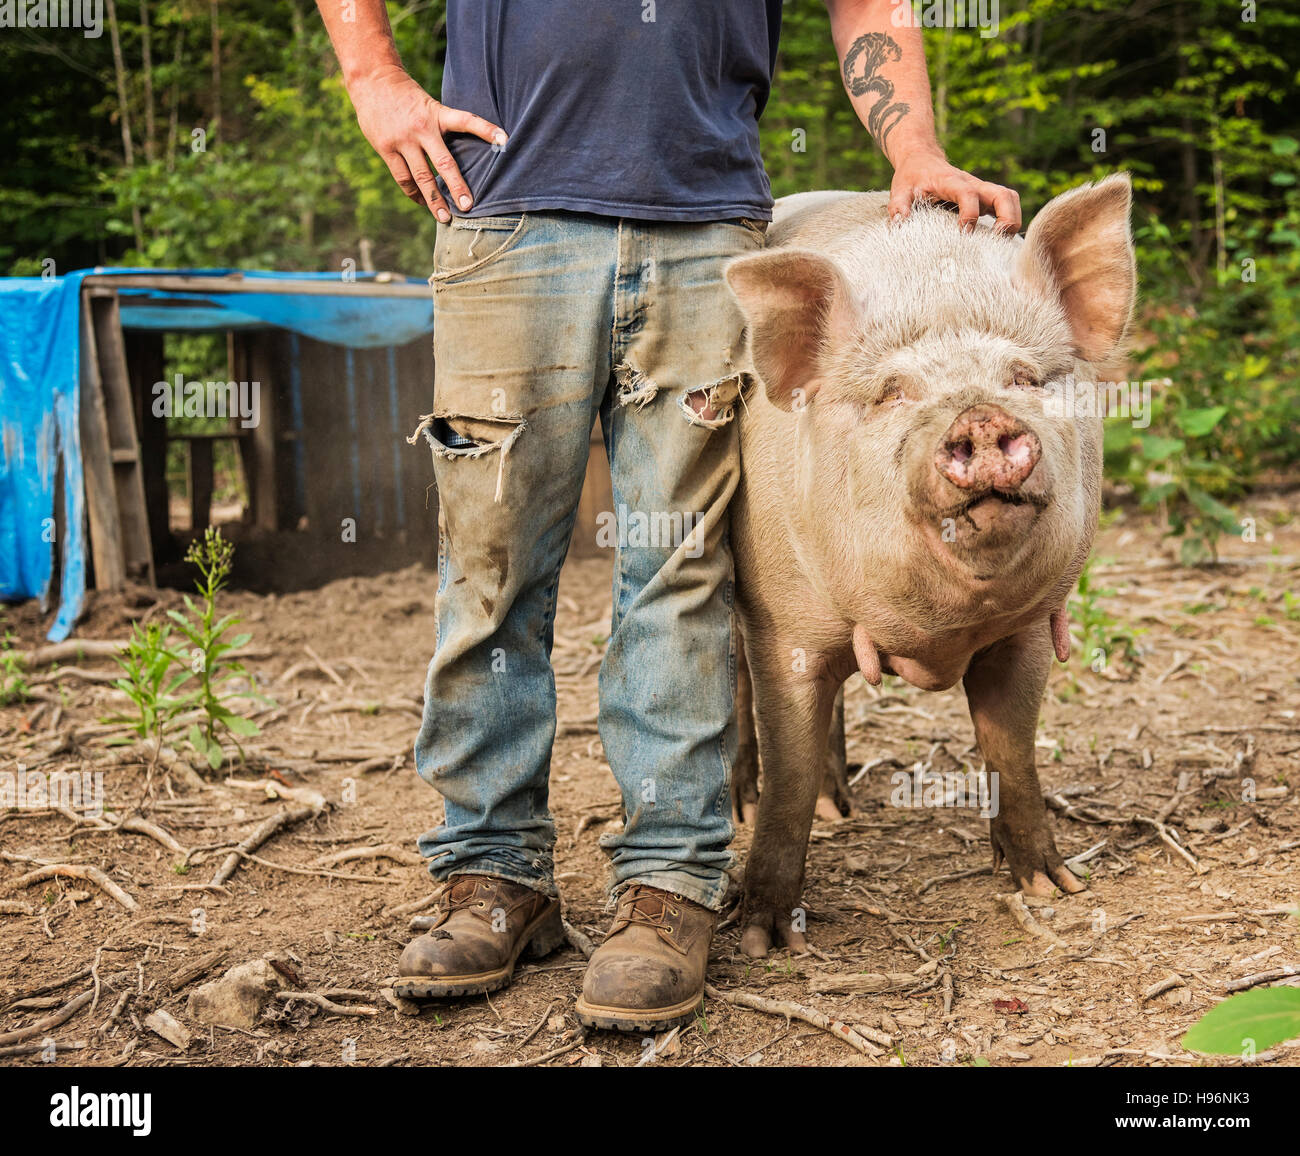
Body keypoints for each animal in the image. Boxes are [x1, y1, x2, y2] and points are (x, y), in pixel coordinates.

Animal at [725, 175, 1136, 958]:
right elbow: (788, 768)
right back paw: (750, 808)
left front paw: (1053, 887)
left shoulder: (1025, 629)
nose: (978, 416)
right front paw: (763, 938)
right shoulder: (782, 620)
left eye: (1024, 378)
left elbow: (1011, 747)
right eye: (893, 392)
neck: (946, 632)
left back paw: (842, 806)